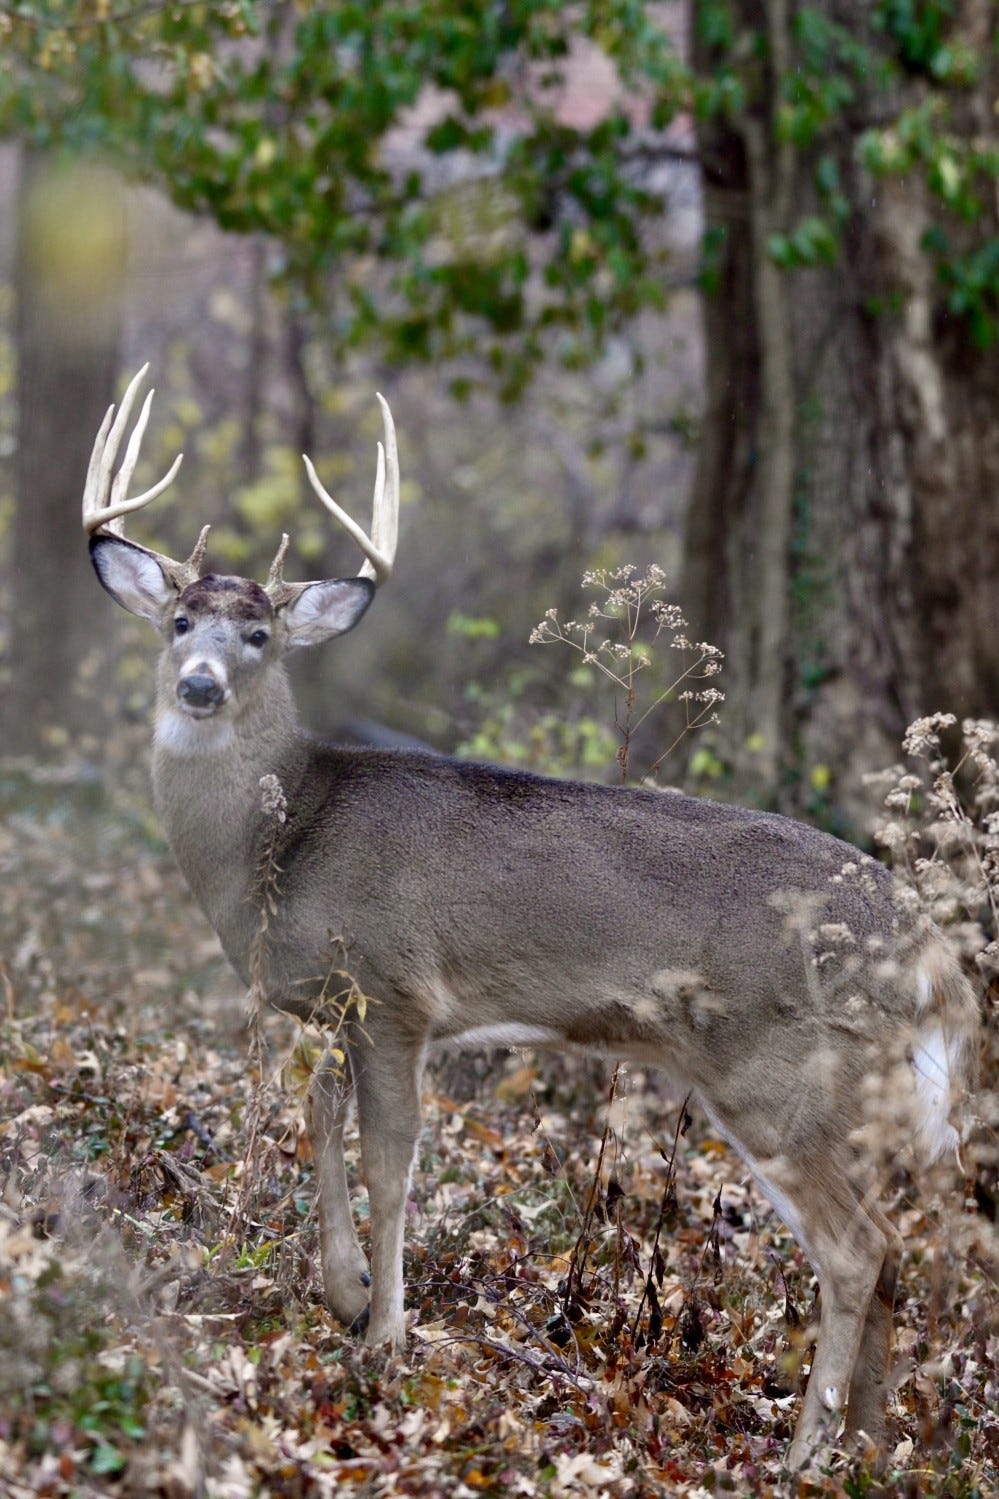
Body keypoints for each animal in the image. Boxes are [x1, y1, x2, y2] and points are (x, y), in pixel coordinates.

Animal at [83, 365, 977, 1469]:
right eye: (178, 623)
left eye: (258, 635)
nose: (202, 684)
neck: (281, 846)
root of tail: (928, 949)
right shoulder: (330, 1005)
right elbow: (319, 1127)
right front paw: (341, 1293)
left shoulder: (394, 989)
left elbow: (390, 1157)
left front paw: (384, 1335)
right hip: (858, 1086)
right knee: (891, 1250)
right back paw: (872, 1442)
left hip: (783, 1071)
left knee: (858, 1249)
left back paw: (805, 1450)